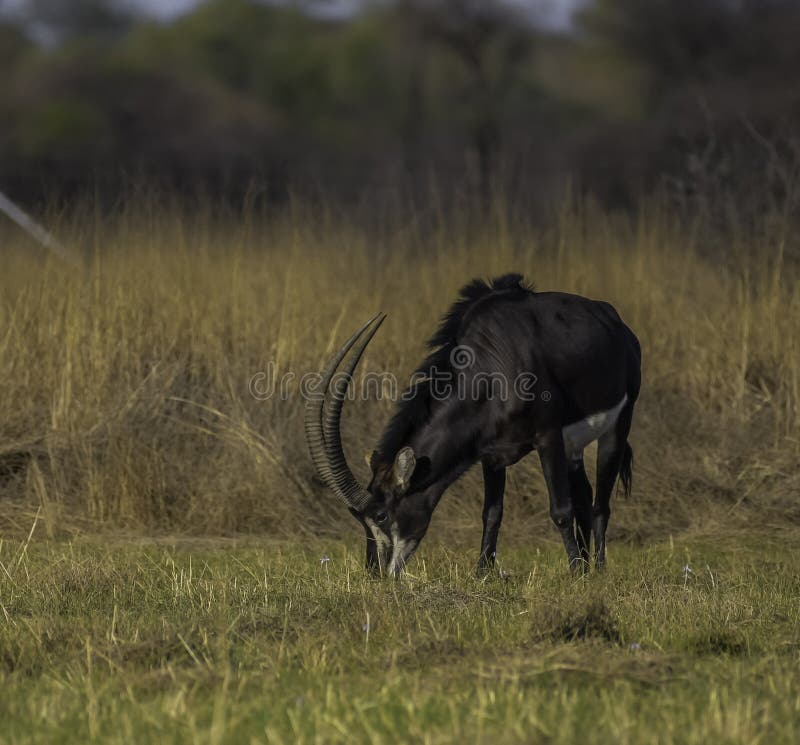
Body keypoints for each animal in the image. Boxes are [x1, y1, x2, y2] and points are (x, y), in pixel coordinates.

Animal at [305, 274, 641, 575]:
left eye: (382, 515)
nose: (374, 572)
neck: (492, 368)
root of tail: (619, 326)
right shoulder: (492, 454)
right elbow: (491, 513)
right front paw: (482, 572)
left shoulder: (548, 437)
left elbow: (560, 509)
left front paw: (574, 572)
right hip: (573, 447)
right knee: (584, 496)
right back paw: (588, 564)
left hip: (616, 427)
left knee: (600, 504)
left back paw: (597, 568)